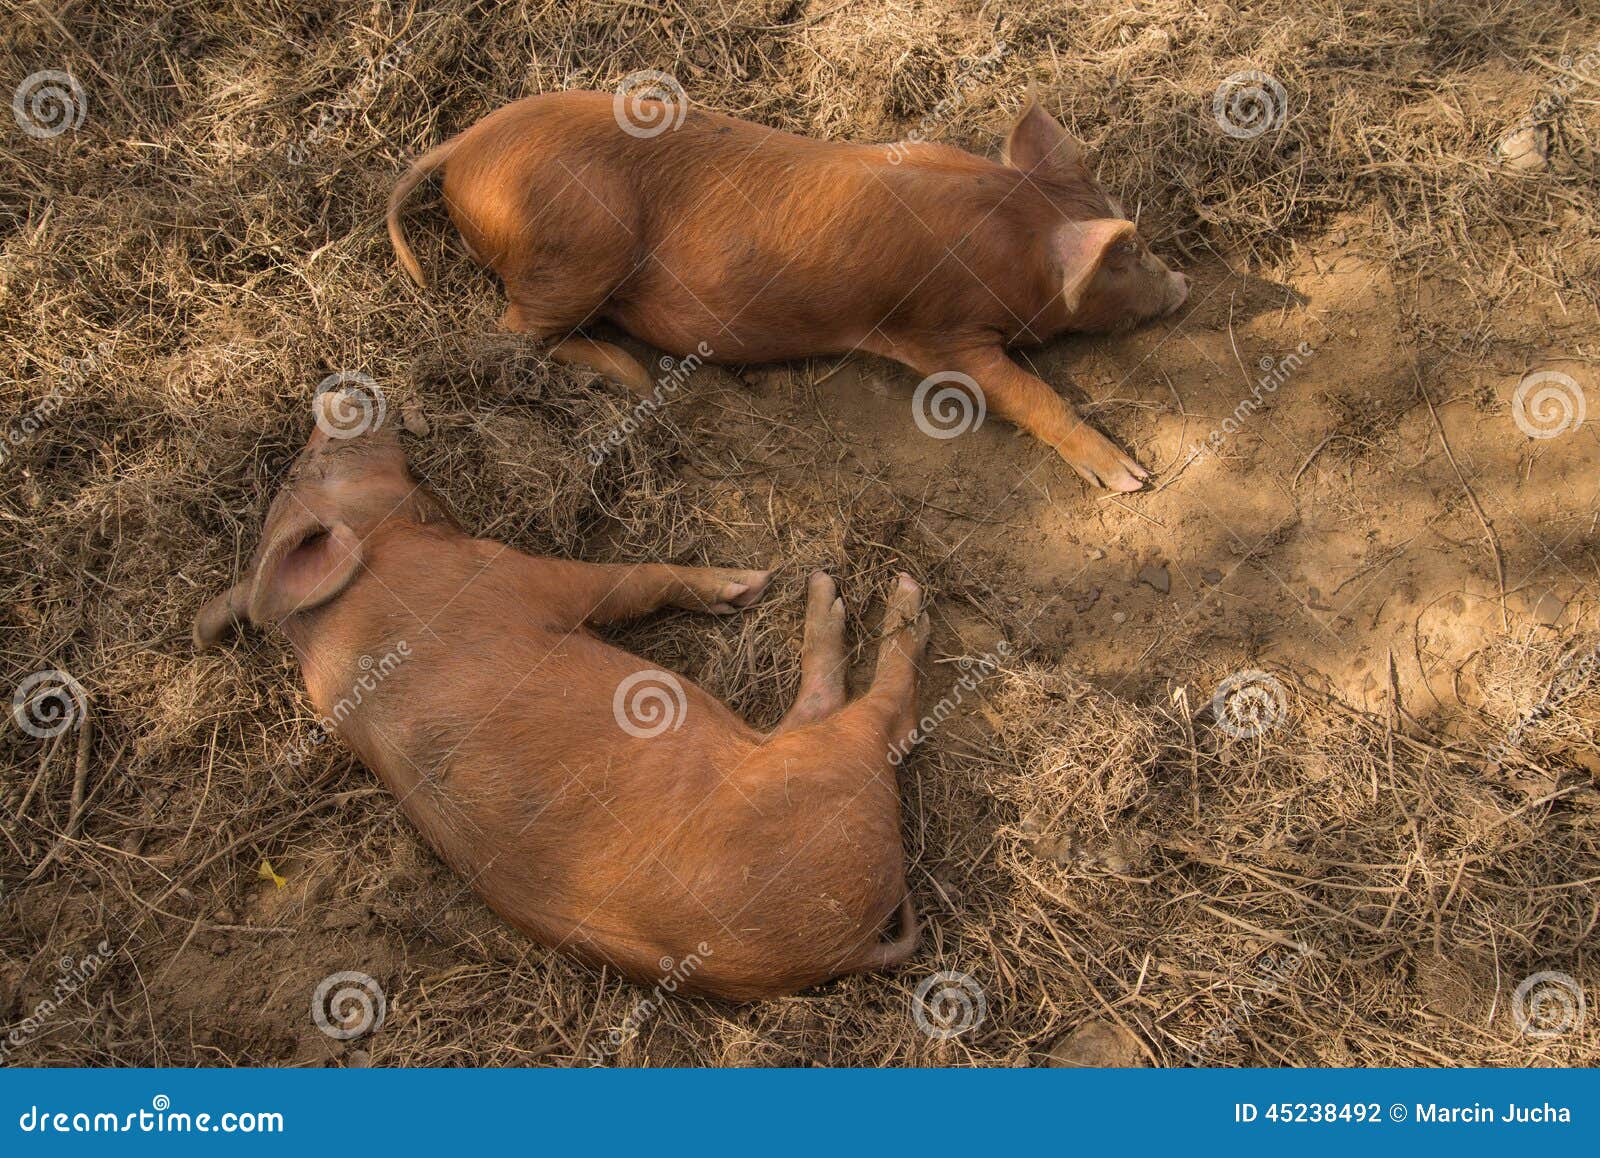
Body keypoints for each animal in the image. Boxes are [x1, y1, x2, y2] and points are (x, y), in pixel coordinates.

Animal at [193, 393, 927, 1001]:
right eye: (315, 468)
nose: (338, 394)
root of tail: (849, 949)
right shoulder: (505, 574)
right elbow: (623, 583)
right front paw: (745, 583)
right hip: (828, 765)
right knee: (879, 714)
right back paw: (874, 590)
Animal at [387, 90, 1189, 492]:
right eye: (1129, 255)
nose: (1184, 284)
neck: (1009, 234)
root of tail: (463, 147)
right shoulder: (944, 332)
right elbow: (1028, 392)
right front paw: (1132, 478)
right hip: (577, 251)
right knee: (508, 335)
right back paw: (632, 376)